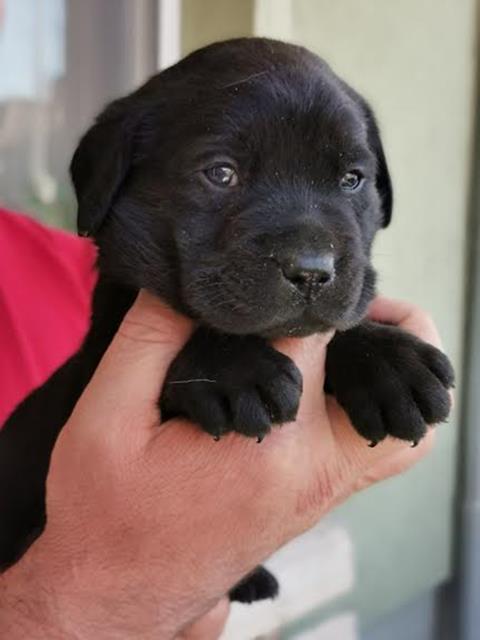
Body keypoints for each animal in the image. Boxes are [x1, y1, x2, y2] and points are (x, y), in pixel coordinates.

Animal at [0, 40, 454, 604]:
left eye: (352, 180)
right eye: (221, 174)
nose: (312, 270)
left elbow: (339, 326)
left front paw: (390, 364)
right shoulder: (101, 350)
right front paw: (234, 369)